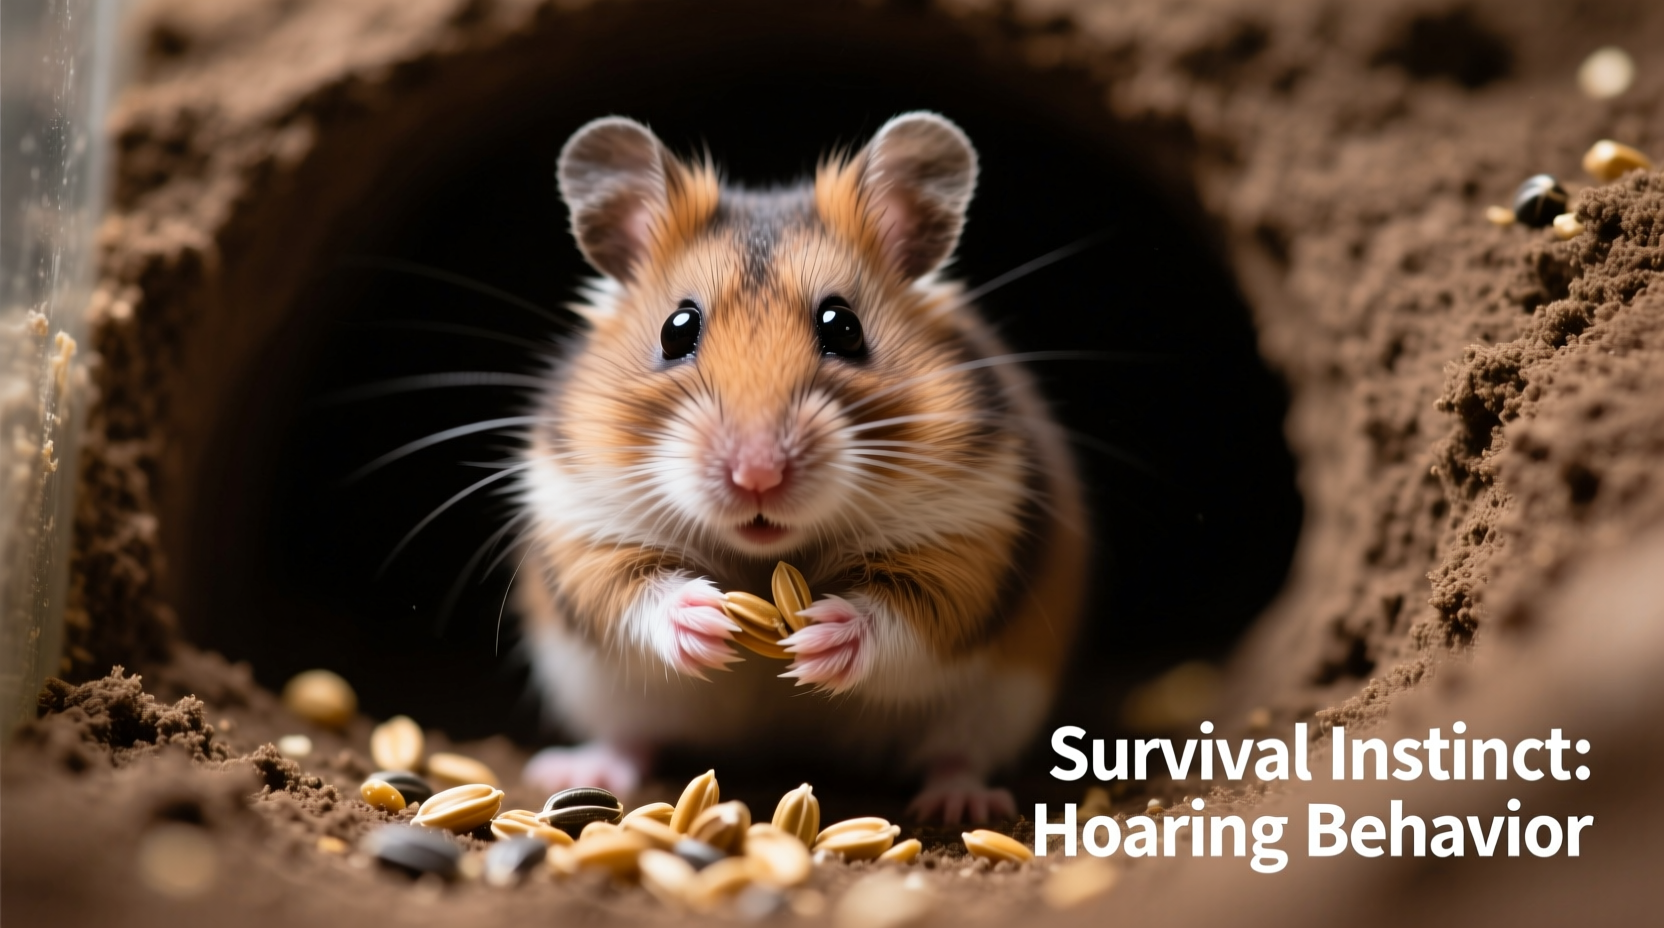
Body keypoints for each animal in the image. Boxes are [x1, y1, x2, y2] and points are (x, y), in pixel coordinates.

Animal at [517, 112, 1087, 823]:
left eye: (844, 326)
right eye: (676, 329)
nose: (757, 476)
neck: (767, 553)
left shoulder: (972, 530)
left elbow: (909, 613)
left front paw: (816, 640)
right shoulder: (583, 520)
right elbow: (629, 590)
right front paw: (710, 621)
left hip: (995, 703)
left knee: (956, 752)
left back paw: (962, 805)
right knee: (629, 737)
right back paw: (573, 770)